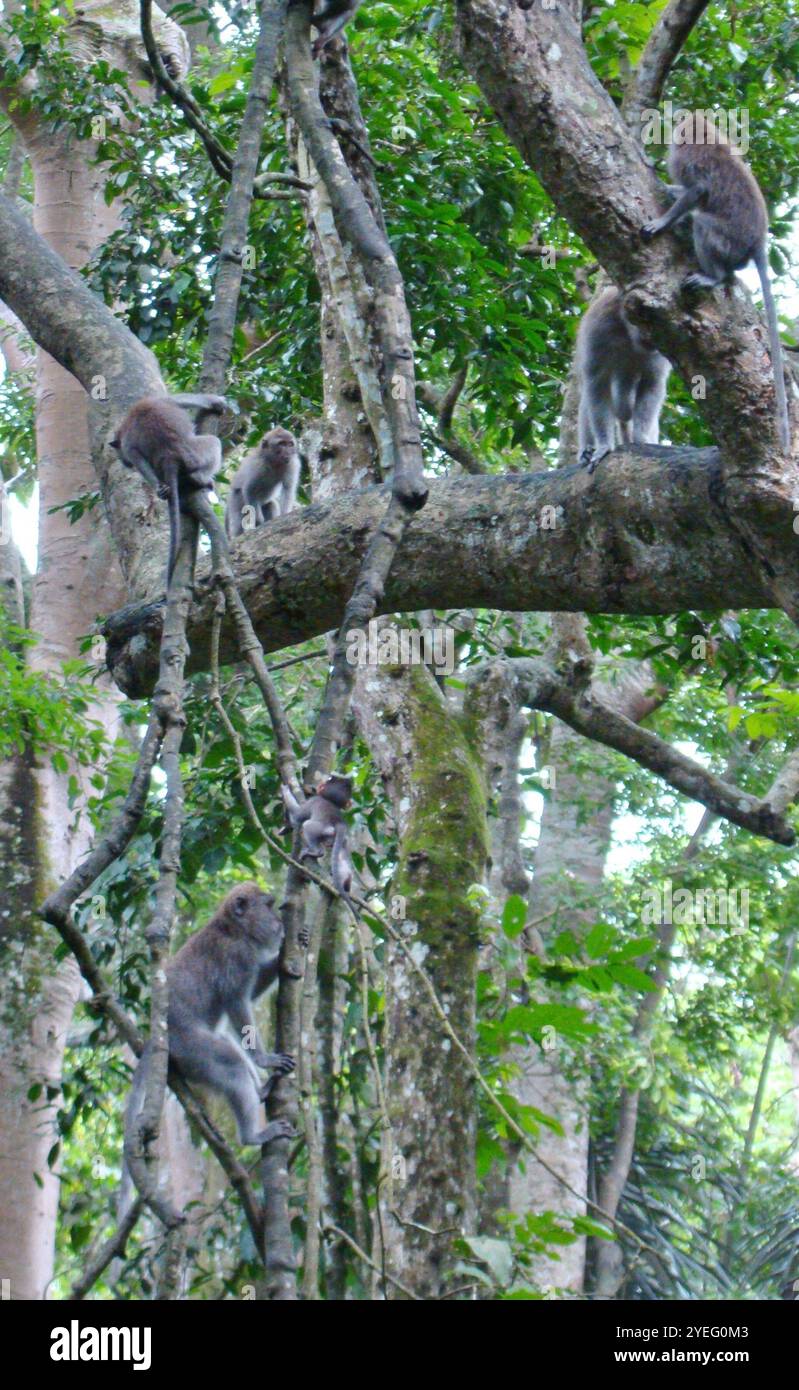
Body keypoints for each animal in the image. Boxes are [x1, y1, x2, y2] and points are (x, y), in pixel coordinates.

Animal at [110, 393, 230, 584]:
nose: (124, 463)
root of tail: (169, 456)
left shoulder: (129, 445)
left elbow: (139, 460)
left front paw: (161, 490)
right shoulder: (164, 399)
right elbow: (192, 399)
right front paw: (217, 402)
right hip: (198, 452)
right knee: (214, 442)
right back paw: (201, 480)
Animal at [125, 883, 295, 1155]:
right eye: (269, 906)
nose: (279, 922)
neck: (233, 929)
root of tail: (156, 1036)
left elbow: (250, 995)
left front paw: (283, 957)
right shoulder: (237, 958)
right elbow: (237, 1002)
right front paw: (265, 1059)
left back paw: (261, 1091)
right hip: (190, 1050)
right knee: (231, 1063)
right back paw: (253, 1136)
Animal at [575, 288, 671, 471]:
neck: (627, 334)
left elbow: (652, 384)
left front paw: (641, 438)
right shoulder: (598, 332)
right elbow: (597, 386)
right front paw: (604, 446)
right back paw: (586, 450)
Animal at [641, 111, 790, 451]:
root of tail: (758, 242)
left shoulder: (688, 156)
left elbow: (696, 190)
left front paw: (663, 221)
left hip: (728, 240)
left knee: (703, 225)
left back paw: (714, 276)